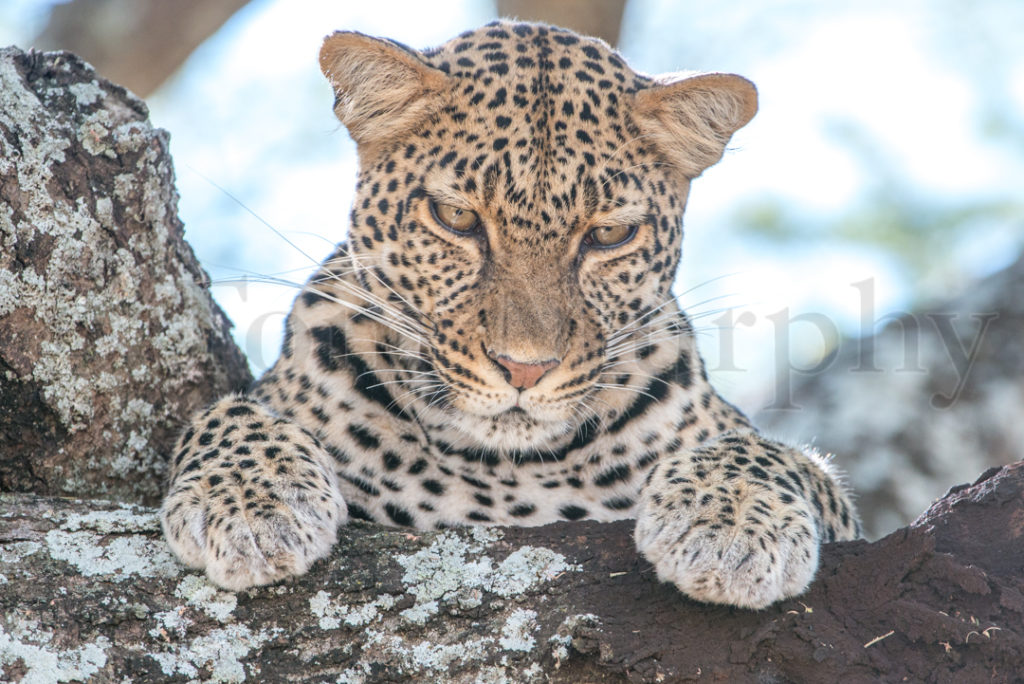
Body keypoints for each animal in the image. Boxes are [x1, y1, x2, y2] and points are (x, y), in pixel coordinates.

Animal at [160, 20, 860, 610]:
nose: (524, 370)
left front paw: (730, 523)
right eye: (457, 218)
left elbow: (777, 452)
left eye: (609, 235)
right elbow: (230, 411)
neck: (505, 471)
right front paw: (252, 506)